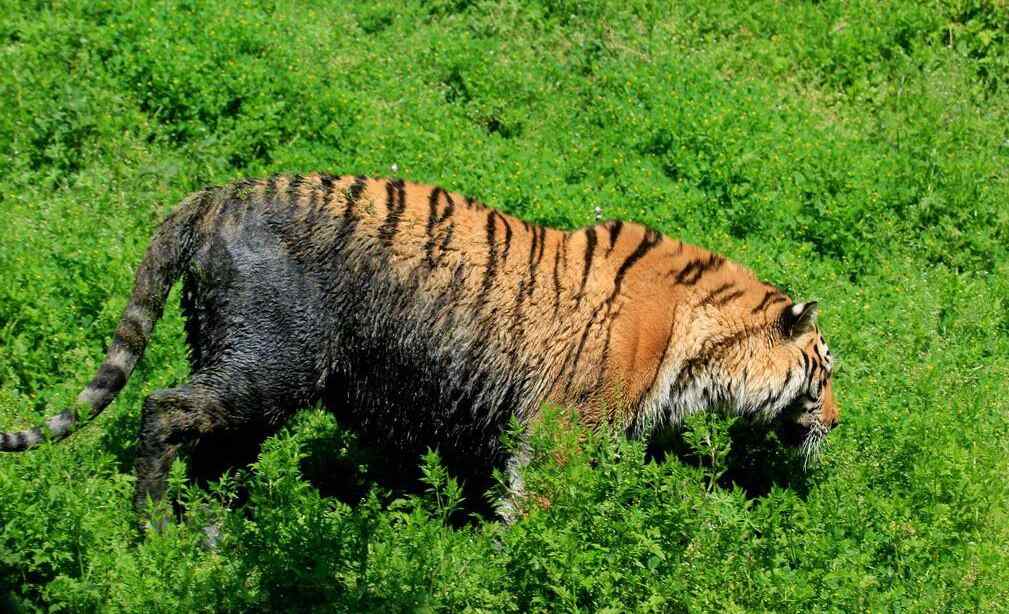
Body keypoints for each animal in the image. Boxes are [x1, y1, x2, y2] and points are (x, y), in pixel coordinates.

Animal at [0, 174, 838, 521]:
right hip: (266, 365)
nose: (835, 422)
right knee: (163, 409)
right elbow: (536, 510)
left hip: (249, 375)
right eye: (823, 374)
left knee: (212, 457)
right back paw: (154, 532)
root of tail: (217, 195)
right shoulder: (561, 432)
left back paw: (213, 539)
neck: (700, 344)